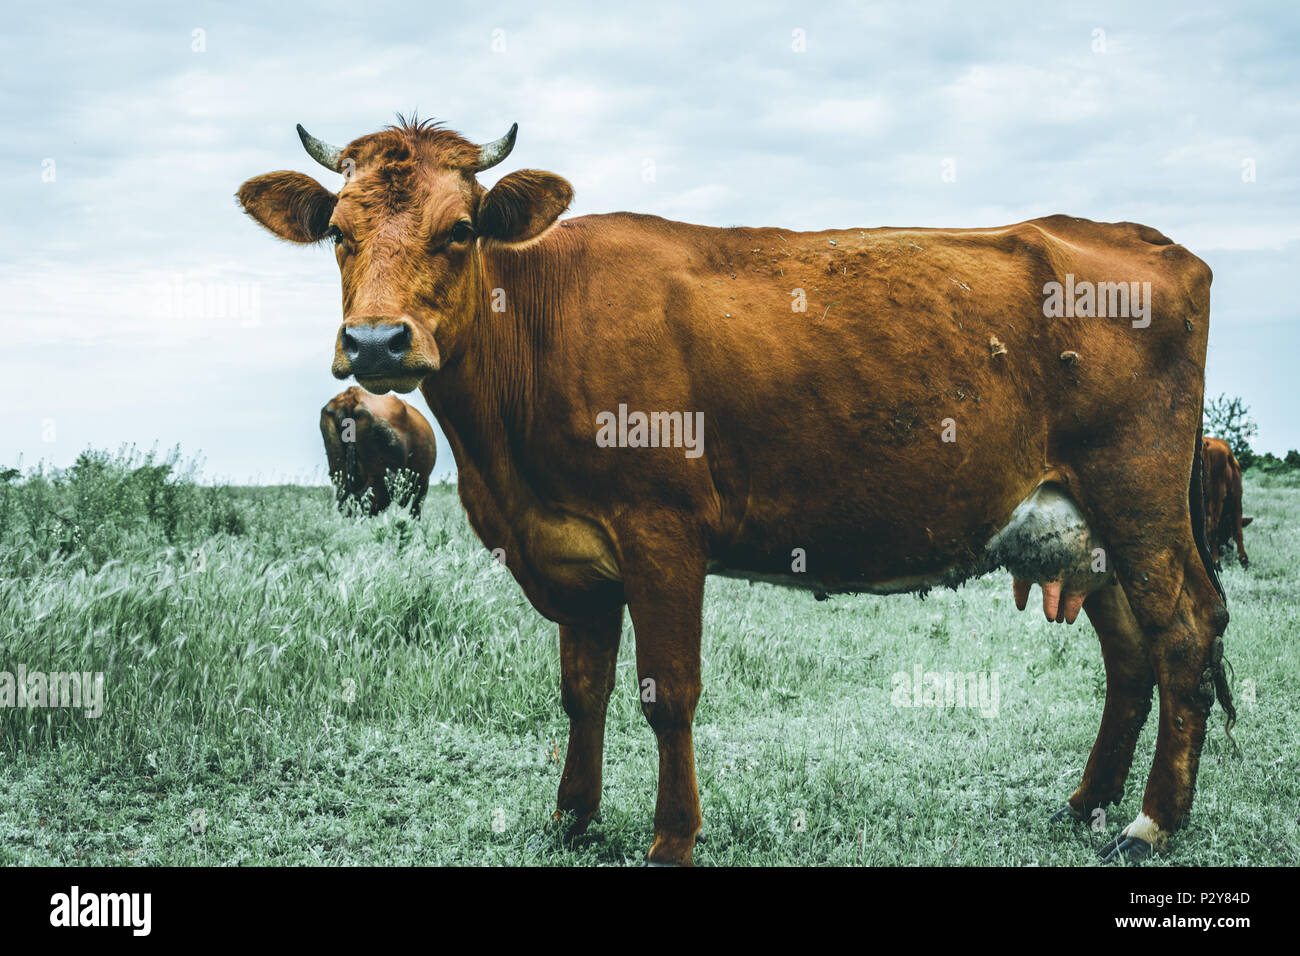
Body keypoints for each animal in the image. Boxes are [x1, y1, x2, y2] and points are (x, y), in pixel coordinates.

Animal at [319, 385, 437, 516]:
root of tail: (352, 395)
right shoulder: (424, 482)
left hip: (340, 474)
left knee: (347, 502)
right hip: (380, 480)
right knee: (365, 503)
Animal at [1201, 436, 1251, 569]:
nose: (1225, 548)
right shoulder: (1237, 497)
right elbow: (1238, 529)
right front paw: (1243, 559)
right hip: (1216, 495)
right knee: (1211, 526)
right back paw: (1215, 562)